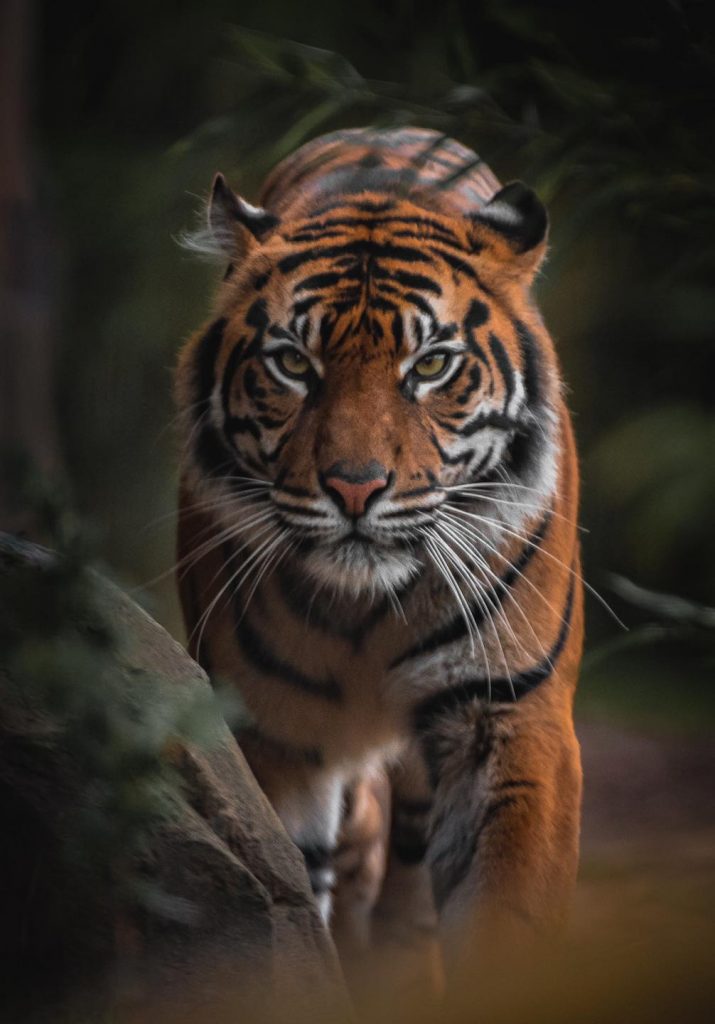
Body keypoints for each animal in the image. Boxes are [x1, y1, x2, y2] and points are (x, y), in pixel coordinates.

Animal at [175, 127, 584, 981]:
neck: (365, 611)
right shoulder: (268, 734)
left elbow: (504, 916)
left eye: (429, 366)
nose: (355, 487)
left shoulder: (508, 712)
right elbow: (286, 902)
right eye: (293, 364)